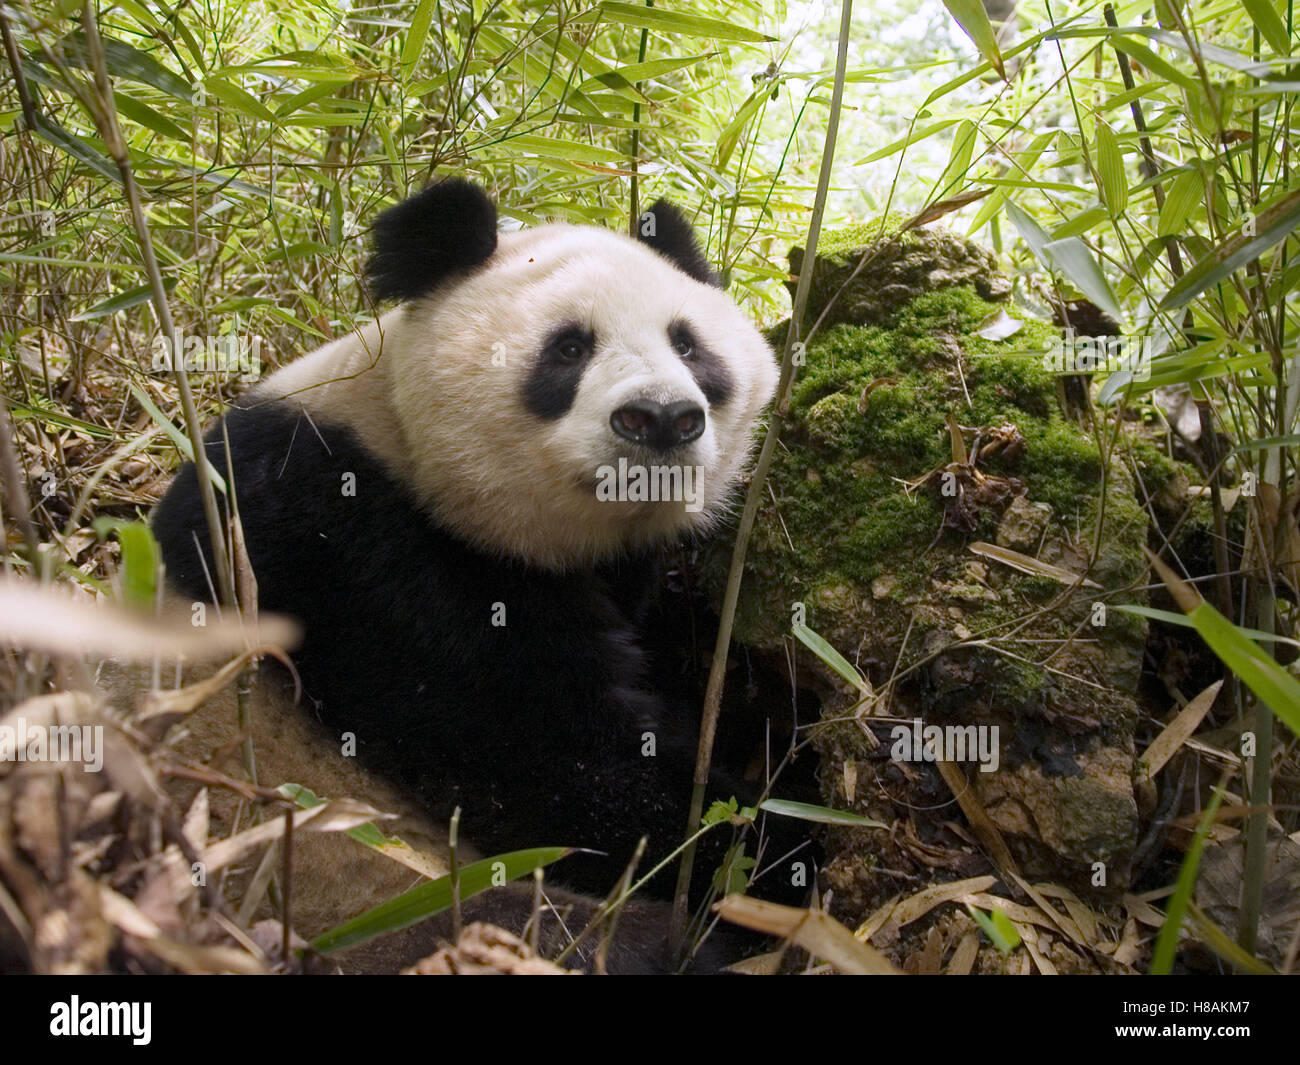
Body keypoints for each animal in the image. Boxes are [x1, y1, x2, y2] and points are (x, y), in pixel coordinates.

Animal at [150, 179, 795, 973]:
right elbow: (545, 761)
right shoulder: (338, 541)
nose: (663, 417)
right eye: (569, 347)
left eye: (688, 343)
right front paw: (772, 846)